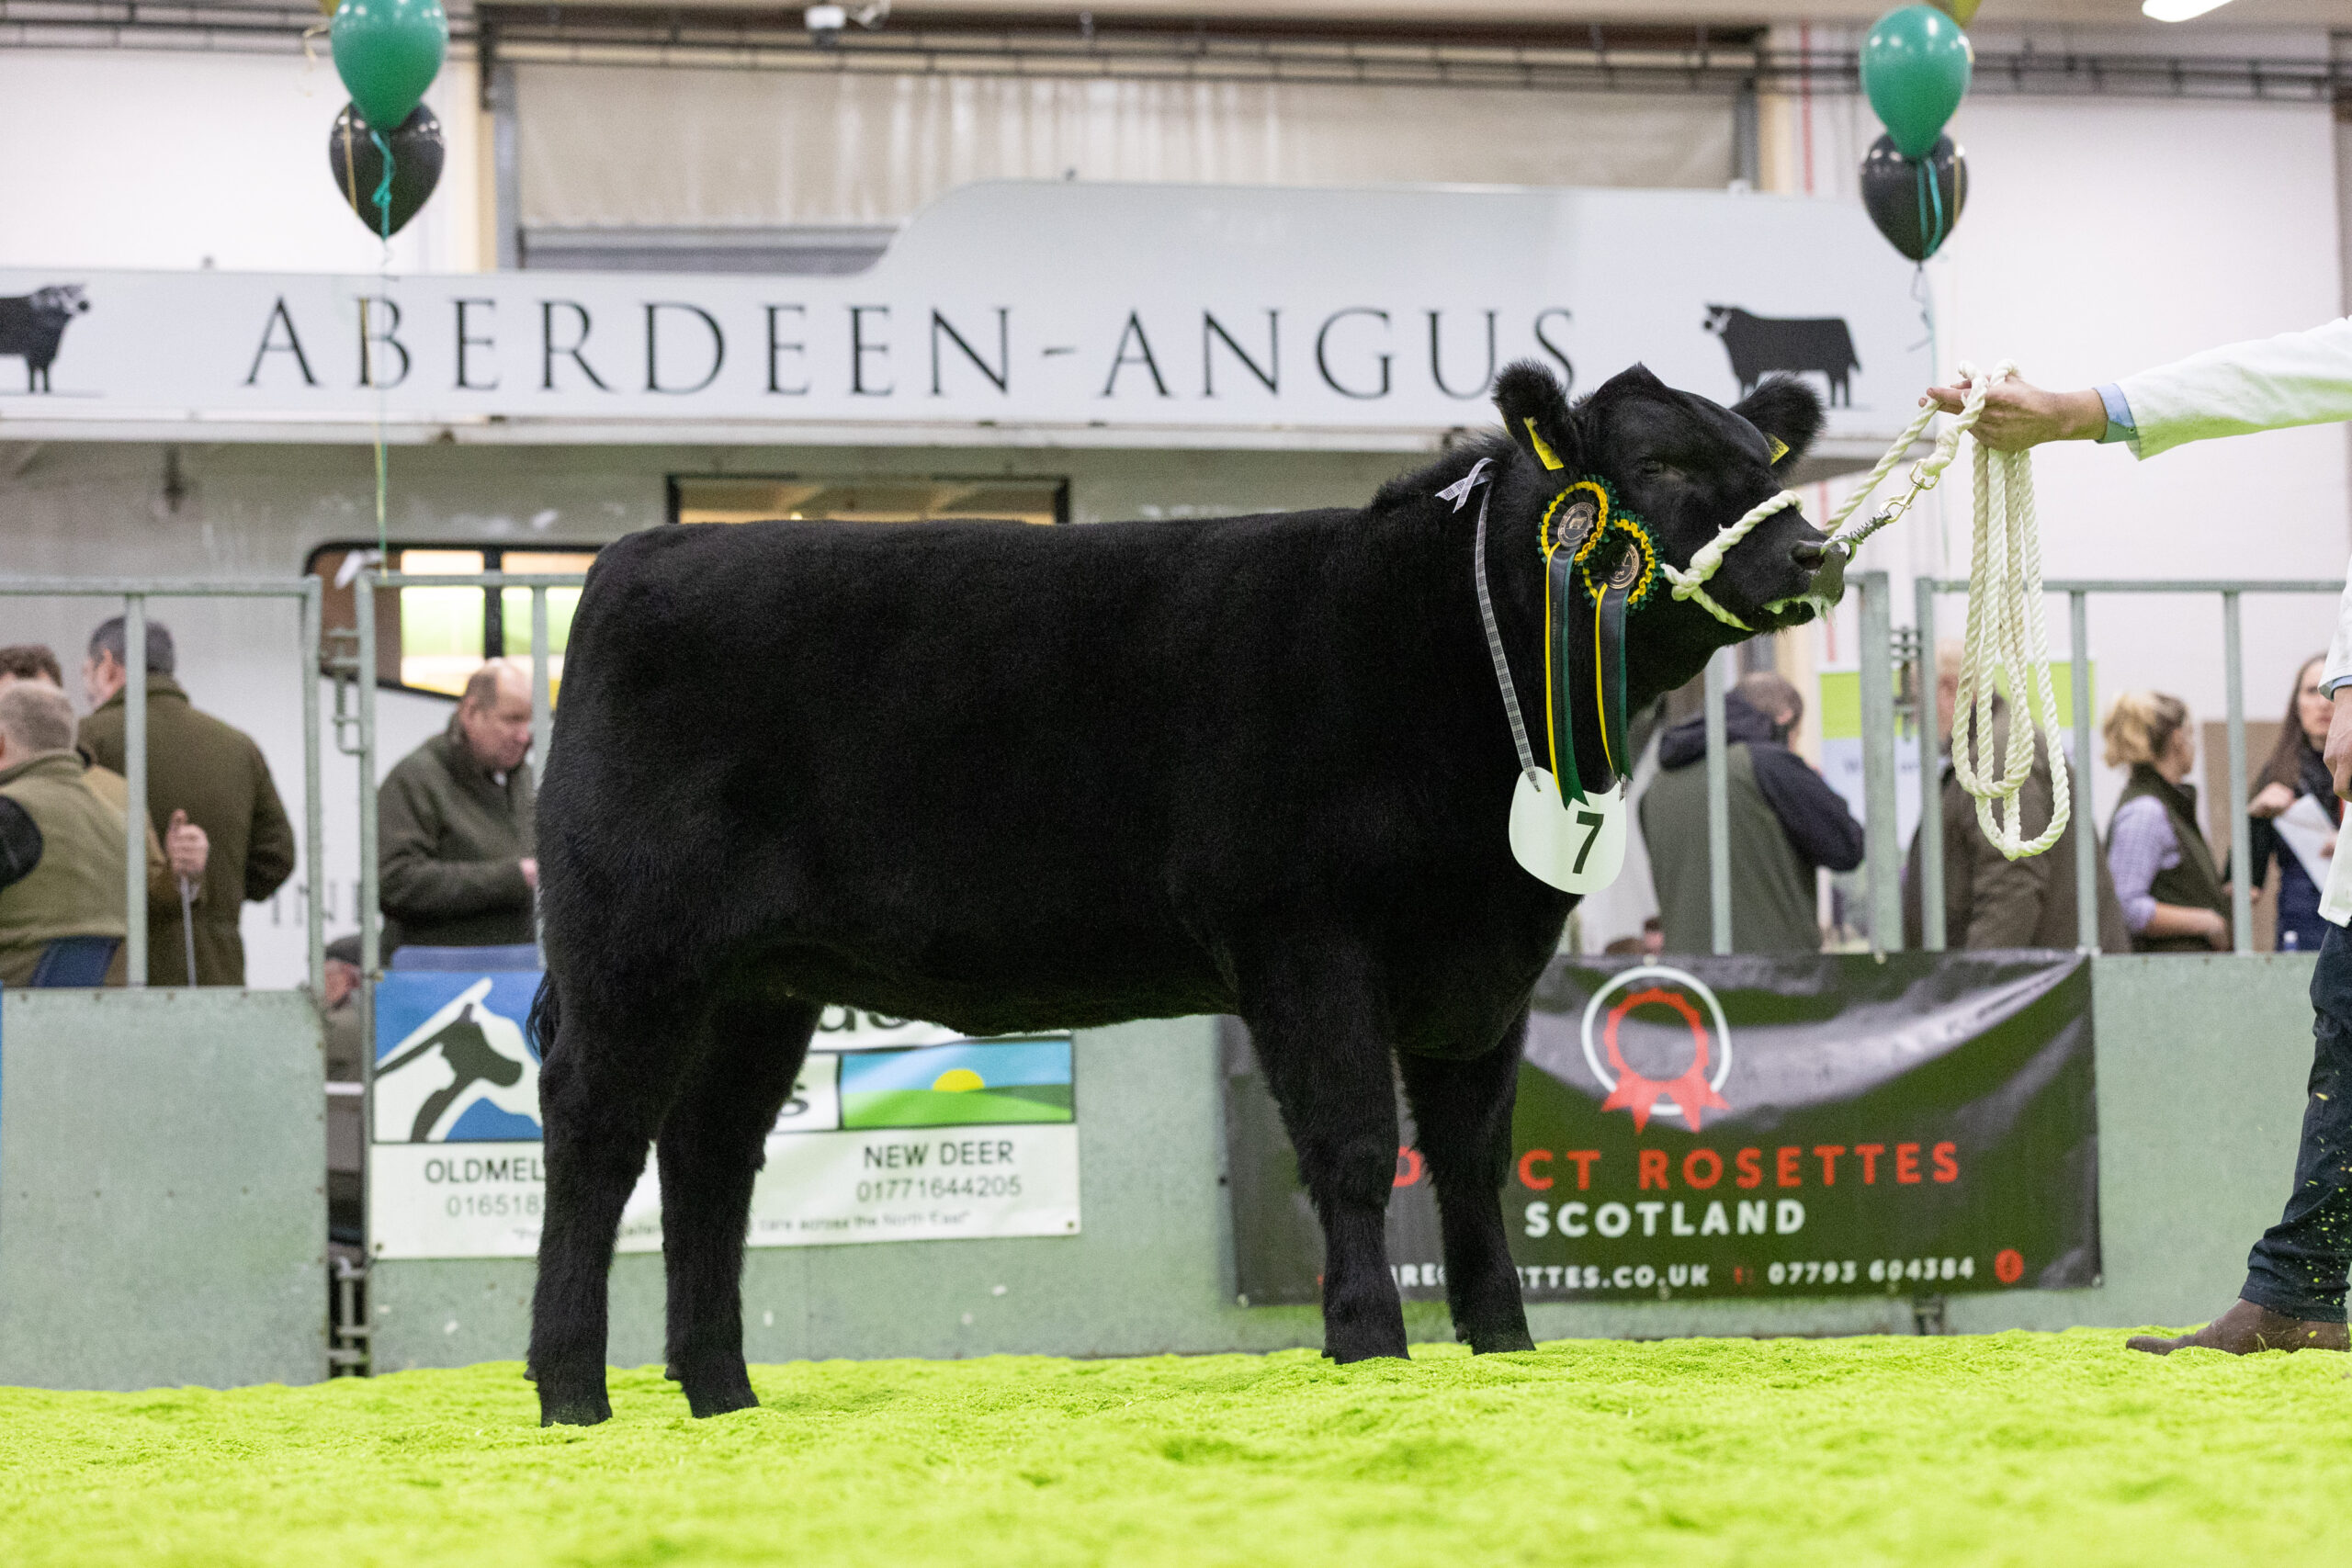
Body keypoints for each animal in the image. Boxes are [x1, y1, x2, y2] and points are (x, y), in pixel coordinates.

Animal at [524, 360, 1832, 1426]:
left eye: (1763, 462)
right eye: (1658, 467)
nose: (1814, 552)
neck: (1455, 655)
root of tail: (642, 553)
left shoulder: (1485, 965)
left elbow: (1470, 1160)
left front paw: (1500, 1345)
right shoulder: (1304, 933)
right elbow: (1354, 1148)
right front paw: (1368, 1345)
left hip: (759, 984)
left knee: (709, 1156)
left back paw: (720, 1397)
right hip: (632, 945)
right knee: (595, 1135)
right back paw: (573, 1393)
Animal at [1704, 304, 1859, 408]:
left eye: (1727, 317)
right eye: (1713, 315)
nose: (1708, 324)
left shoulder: (1752, 370)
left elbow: (1749, 385)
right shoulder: (1743, 370)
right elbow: (1744, 385)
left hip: (1836, 365)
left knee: (1843, 381)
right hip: (1834, 367)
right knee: (1837, 381)